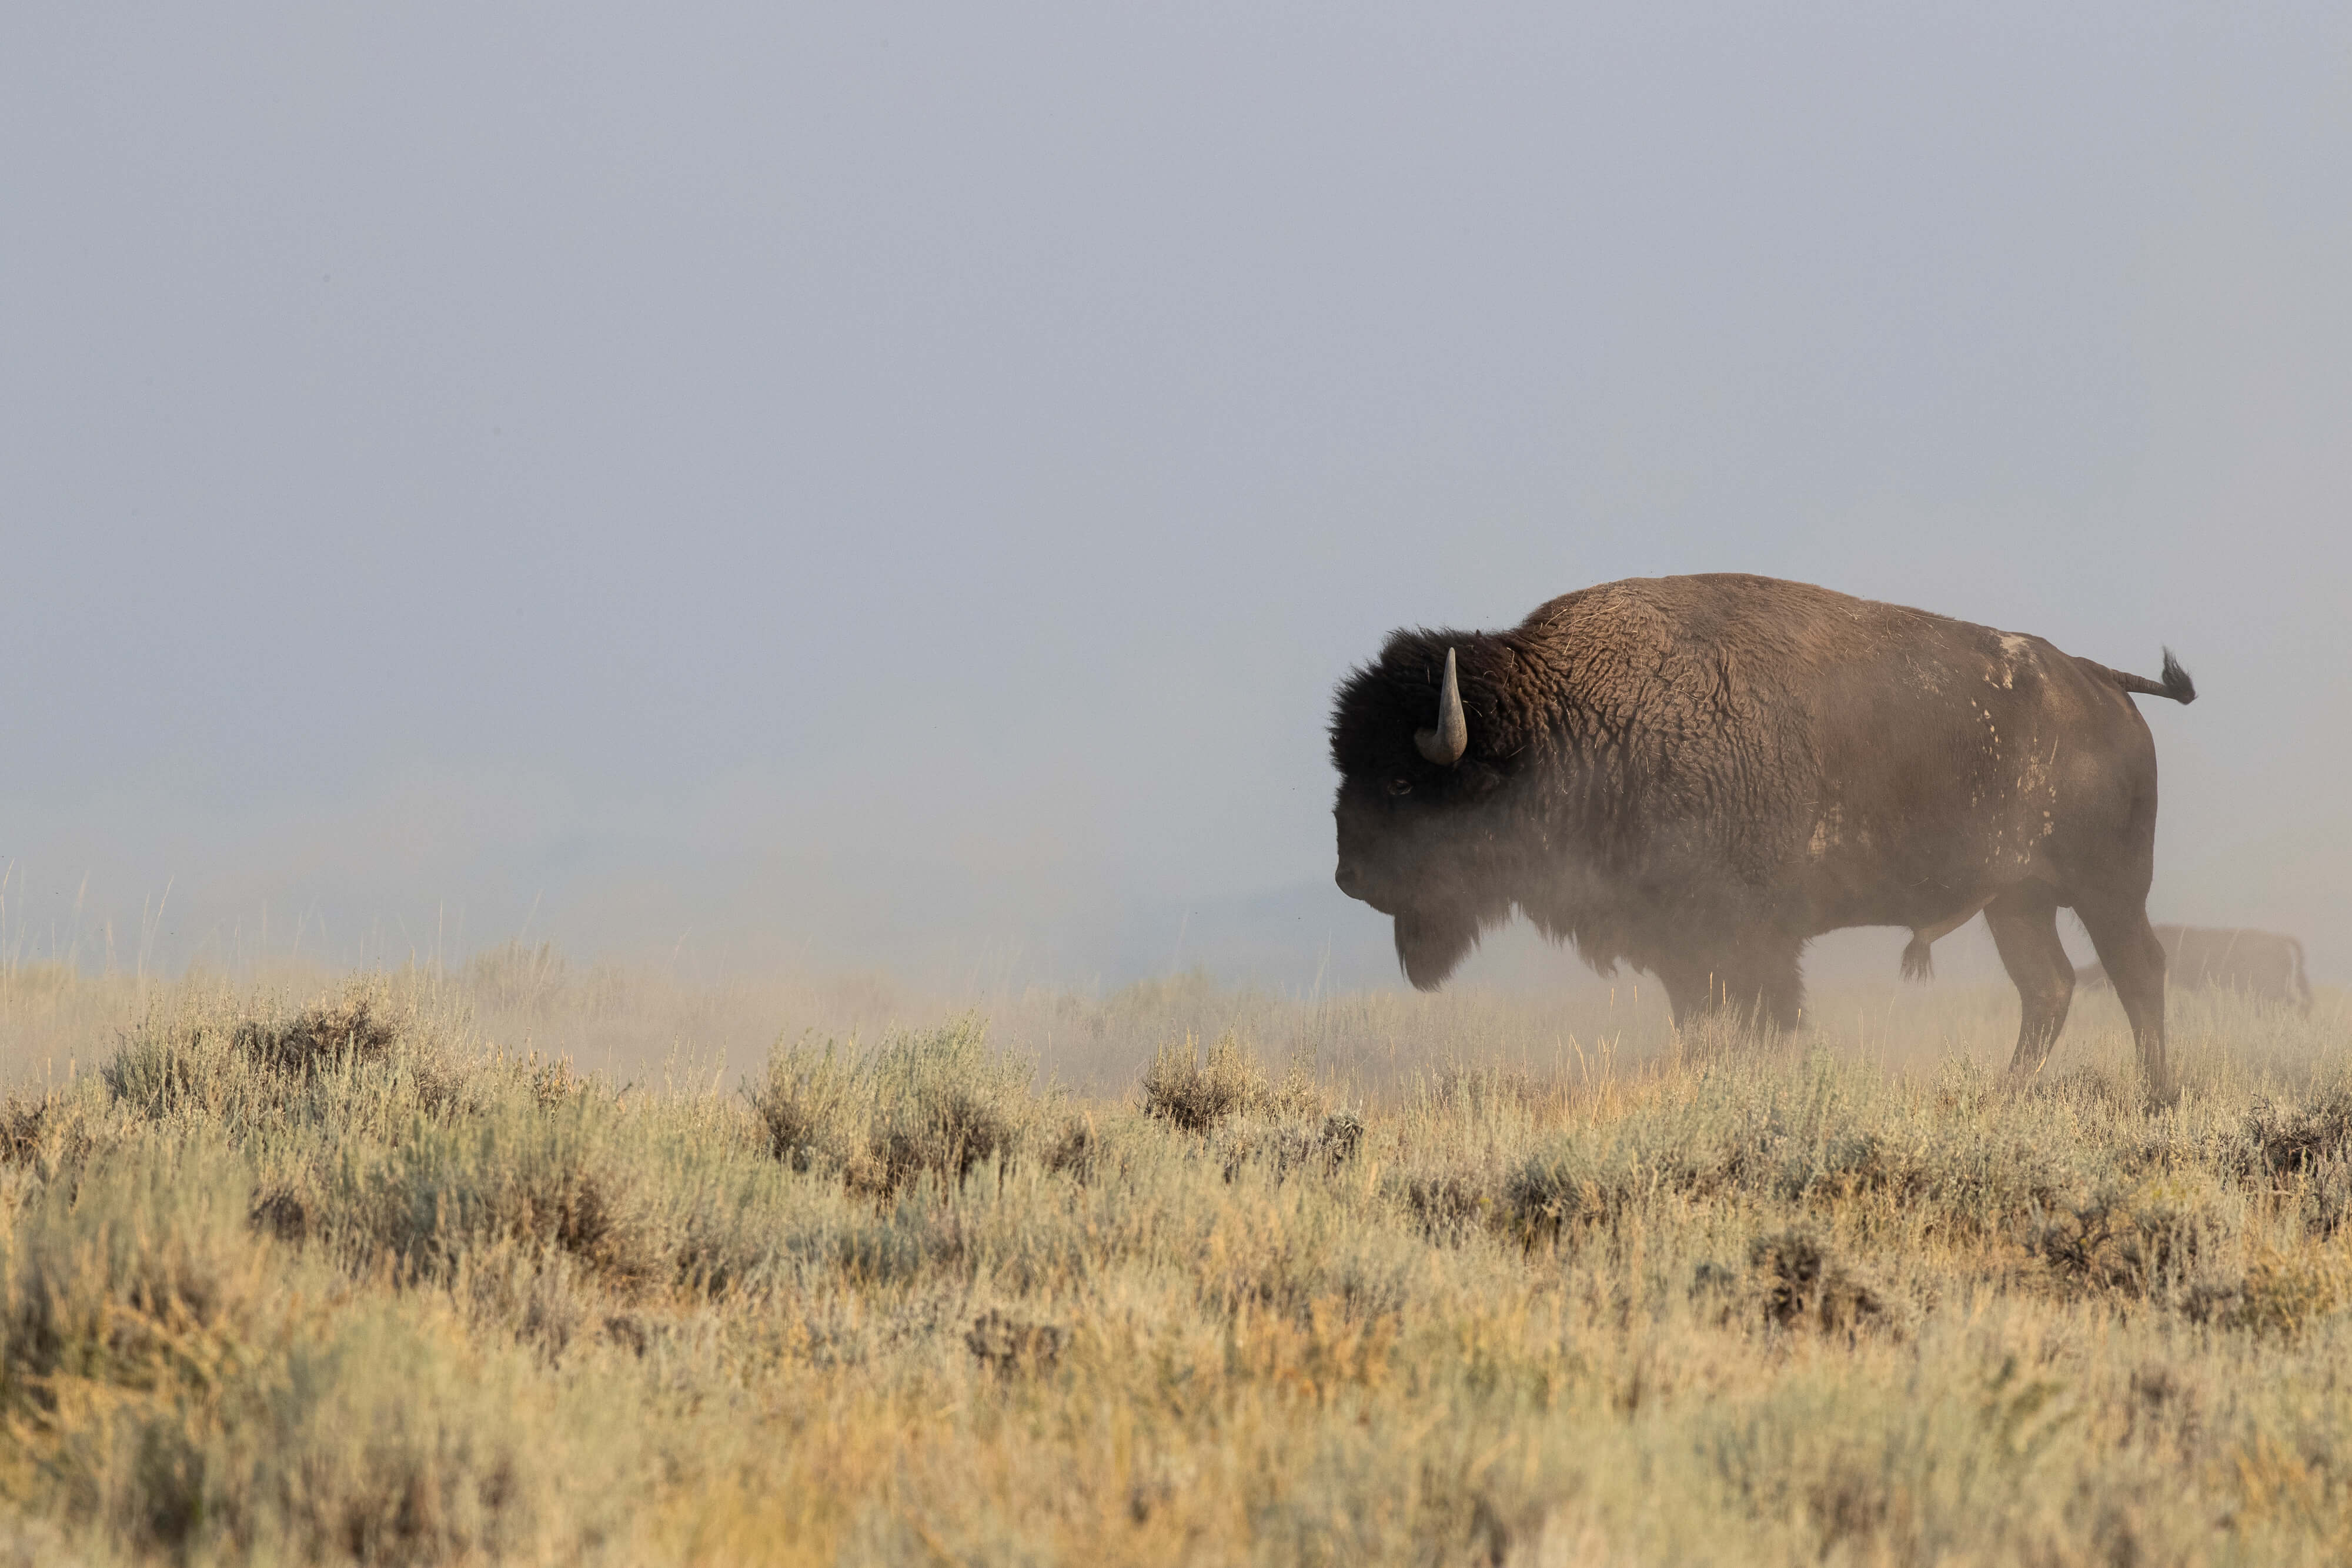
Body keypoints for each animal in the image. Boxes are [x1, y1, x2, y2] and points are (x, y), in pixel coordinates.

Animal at [1330, 574, 2195, 1099]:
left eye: (1402, 783)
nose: (1349, 878)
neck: (1565, 723)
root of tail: (2098, 680)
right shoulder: (1679, 947)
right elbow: (1703, 1023)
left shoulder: (1742, 939)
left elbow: (1757, 1018)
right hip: (2016, 901)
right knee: (2048, 987)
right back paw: (2002, 1096)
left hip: (2107, 890)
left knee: (2137, 970)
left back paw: (2153, 1099)